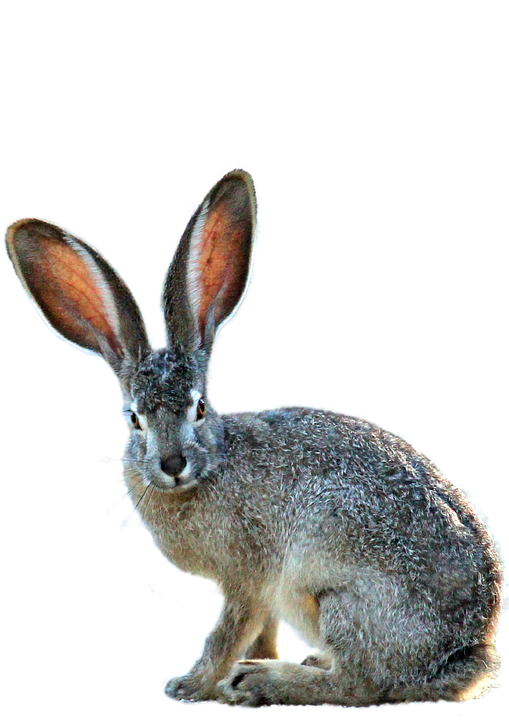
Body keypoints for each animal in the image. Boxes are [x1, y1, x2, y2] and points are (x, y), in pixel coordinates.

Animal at [3, 163, 506, 708]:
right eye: (133, 419)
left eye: (200, 407)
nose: (172, 464)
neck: (212, 465)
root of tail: (465, 655)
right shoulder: (257, 592)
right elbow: (259, 632)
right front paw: (239, 669)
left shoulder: (248, 575)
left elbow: (227, 631)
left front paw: (191, 684)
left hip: (341, 599)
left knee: (364, 682)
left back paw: (264, 682)